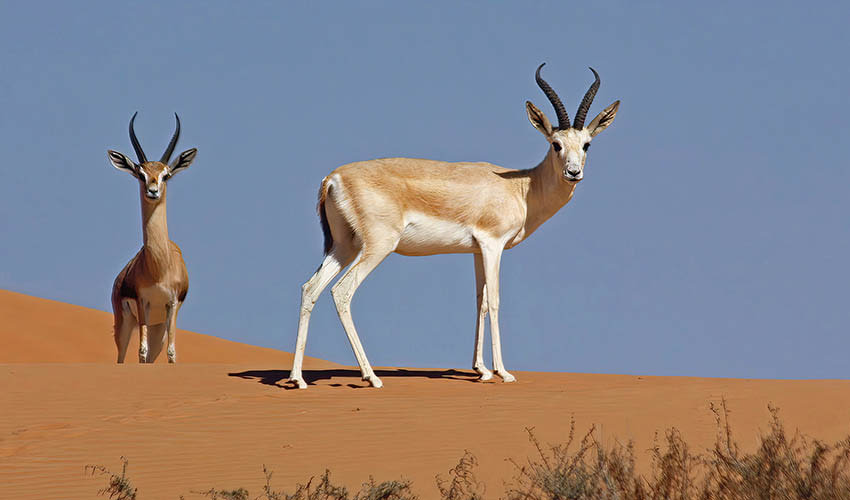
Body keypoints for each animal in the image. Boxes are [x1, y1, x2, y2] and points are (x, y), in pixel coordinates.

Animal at [107, 113, 198, 363]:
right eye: (141, 174)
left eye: (166, 175)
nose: (153, 191)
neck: (160, 266)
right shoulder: (143, 302)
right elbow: (141, 350)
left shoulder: (172, 304)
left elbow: (172, 352)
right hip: (126, 323)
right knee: (122, 357)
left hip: (159, 326)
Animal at [289, 64, 619, 389]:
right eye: (556, 144)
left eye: (586, 145)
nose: (573, 172)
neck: (522, 188)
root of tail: (333, 178)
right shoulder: (492, 245)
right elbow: (495, 301)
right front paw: (502, 372)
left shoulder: (476, 251)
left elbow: (480, 302)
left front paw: (481, 370)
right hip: (377, 246)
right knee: (342, 291)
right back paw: (371, 376)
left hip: (344, 246)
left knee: (310, 288)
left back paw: (298, 378)